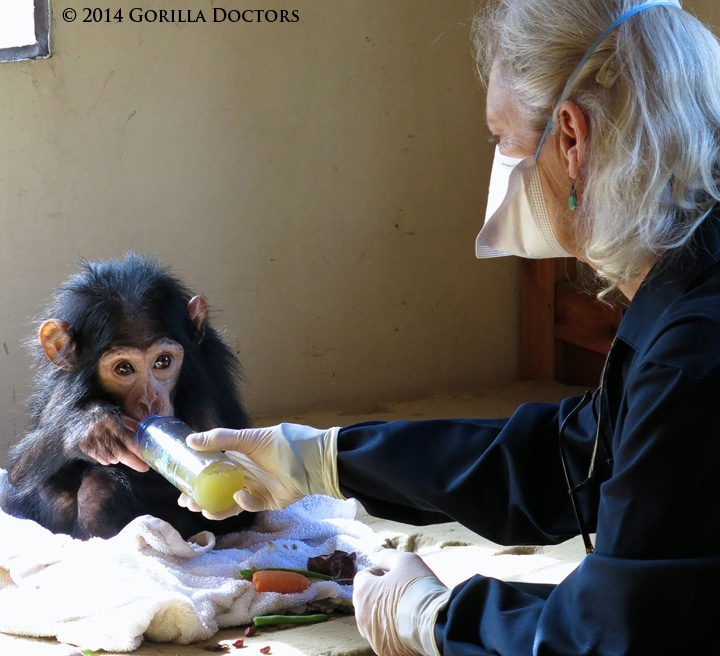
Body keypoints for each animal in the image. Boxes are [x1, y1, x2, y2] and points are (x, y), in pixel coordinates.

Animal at [2, 253, 255, 539]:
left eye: (163, 361)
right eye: (124, 368)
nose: (150, 400)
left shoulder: (207, 379)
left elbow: (239, 502)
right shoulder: (63, 388)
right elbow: (16, 476)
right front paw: (92, 427)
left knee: (96, 493)